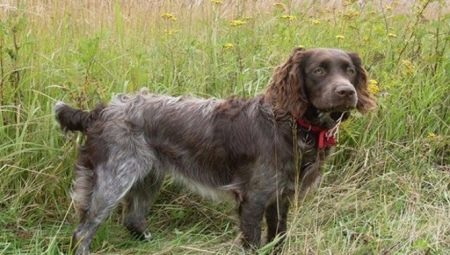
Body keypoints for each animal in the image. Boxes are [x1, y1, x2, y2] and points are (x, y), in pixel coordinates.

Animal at [53, 47, 376, 253]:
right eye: (319, 70)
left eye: (349, 70)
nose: (347, 92)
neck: (290, 124)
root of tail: (99, 112)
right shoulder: (253, 200)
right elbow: (253, 244)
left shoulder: (280, 197)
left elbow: (278, 238)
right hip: (114, 180)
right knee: (83, 232)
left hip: (148, 176)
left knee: (132, 219)